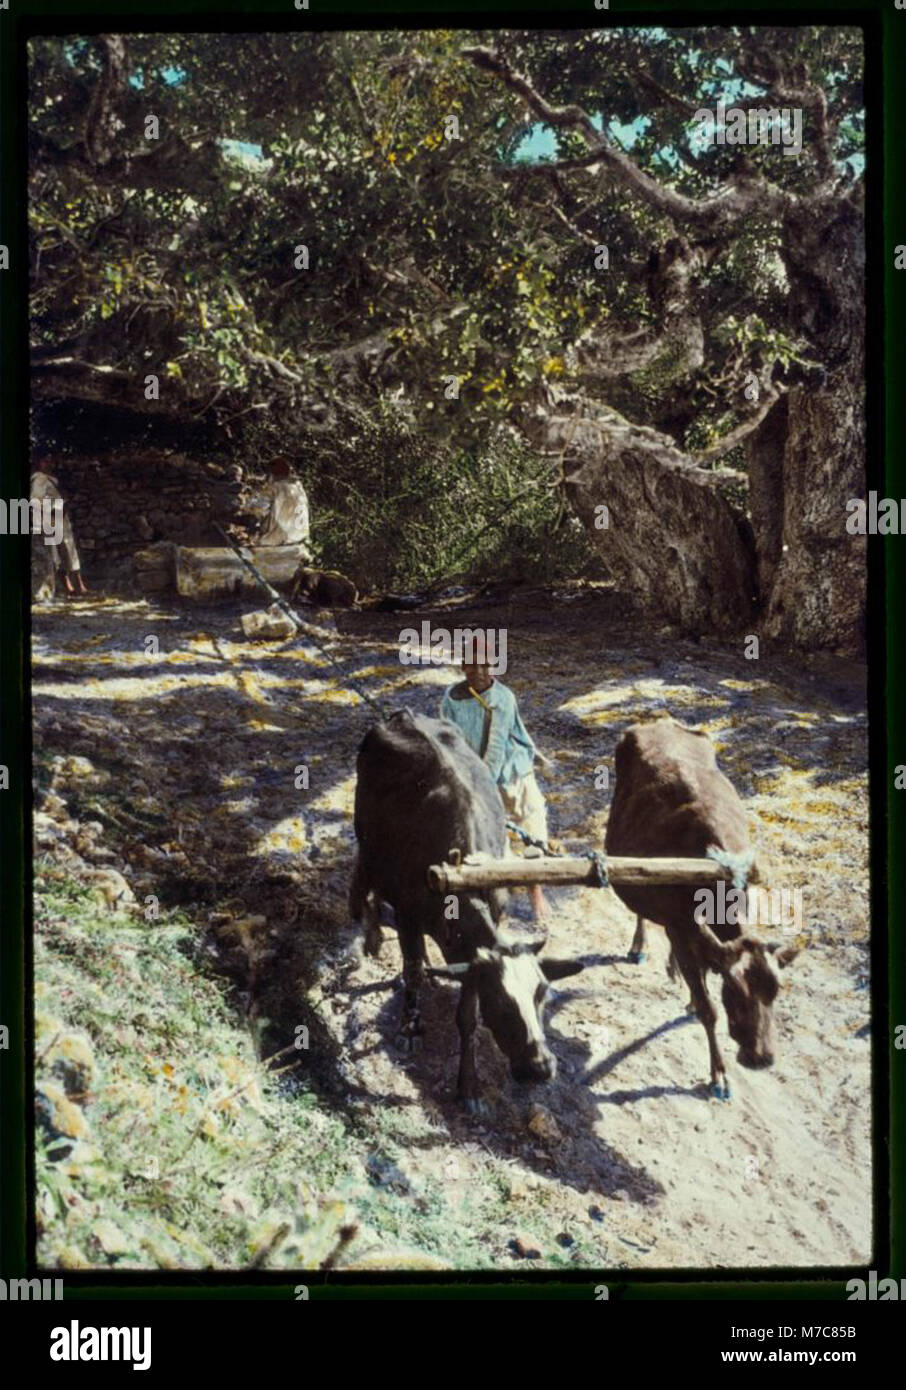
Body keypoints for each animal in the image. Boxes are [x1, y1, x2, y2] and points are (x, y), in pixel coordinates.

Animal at [349, 710, 582, 1110]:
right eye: (501, 1002)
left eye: (542, 993)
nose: (540, 1068)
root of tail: (404, 714)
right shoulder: (408, 916)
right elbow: (410, 971)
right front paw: (410, 1027)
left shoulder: (478, 945)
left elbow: (467, 1015)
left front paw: (469, 1086)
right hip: (365, 836)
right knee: (366, 879)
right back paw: (373, 934)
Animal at [605, 717, 798, 1099]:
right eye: (734, 995)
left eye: (776, 990)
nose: (761, 1059)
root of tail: (659, 721)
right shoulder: (681, 927)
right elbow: (709, 1010)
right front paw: (718, 1075)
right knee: (640, 902)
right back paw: (640, 946)